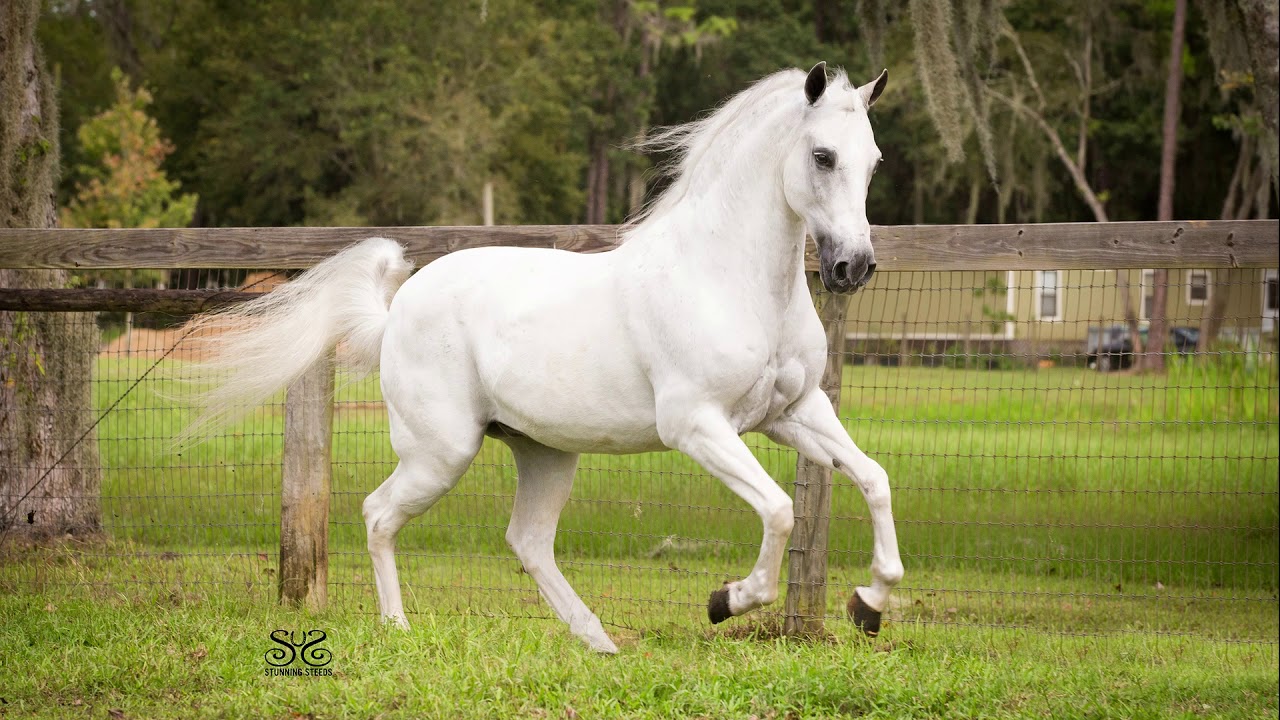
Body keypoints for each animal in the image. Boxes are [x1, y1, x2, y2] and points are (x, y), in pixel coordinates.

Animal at [187, 62, 903, 653]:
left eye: (873, 162)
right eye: (822, 156)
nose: (854, 267)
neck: (728, 280)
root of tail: (394, 312)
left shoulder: (794, 412)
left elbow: (874, 478)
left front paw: (867, 604)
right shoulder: (698, 425)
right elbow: (780, 510)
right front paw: (726, 600)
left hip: (545, 453)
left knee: (527, 541)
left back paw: (599, 641)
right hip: (441, 453)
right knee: (379, 515)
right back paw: (399, 628)